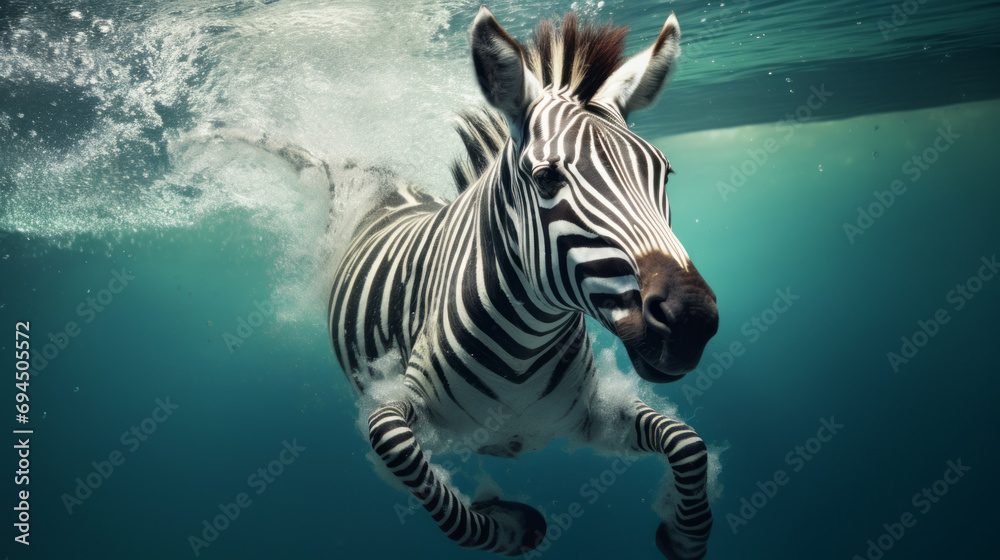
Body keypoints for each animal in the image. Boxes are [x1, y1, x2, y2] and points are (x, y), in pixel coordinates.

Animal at [329, 8, 719, 559]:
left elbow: (688, 443)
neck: (525, 347)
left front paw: (683, 535)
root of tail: (394, 190)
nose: (691, 322)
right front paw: (512, 527)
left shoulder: (591, 415)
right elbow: (405, 455)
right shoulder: (412, 405)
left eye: (664, 175)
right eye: (547, 179)